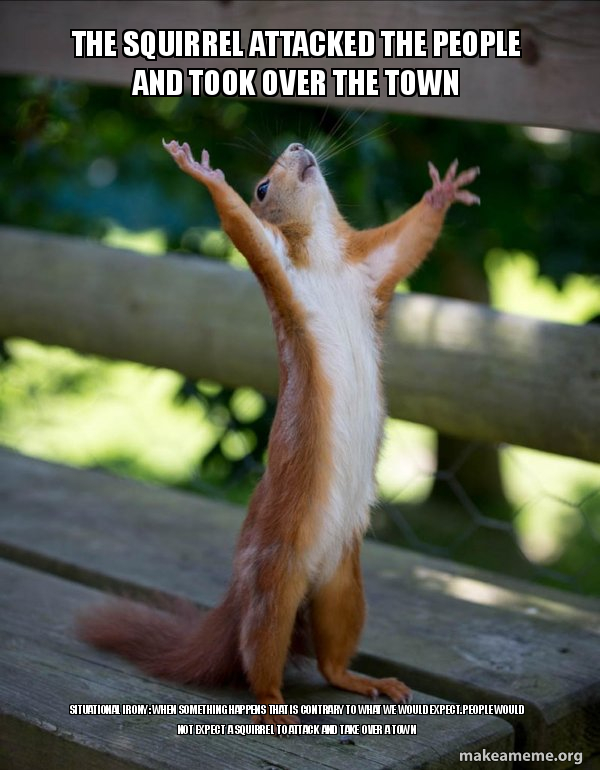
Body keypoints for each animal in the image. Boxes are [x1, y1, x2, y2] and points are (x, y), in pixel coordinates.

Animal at [78, 138, 479, 725]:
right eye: (262, 187)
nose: (296, 146)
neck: (327, 257)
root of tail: (239, 595)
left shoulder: (371, 267)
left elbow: (409, 240)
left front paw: (443, 192)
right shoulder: (277, 264)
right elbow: (240, 226)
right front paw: (204, 174)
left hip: (344, 586)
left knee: (331, 659)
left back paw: (365, 681)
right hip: (274, 582)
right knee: (258, 653)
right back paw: (274, 706)